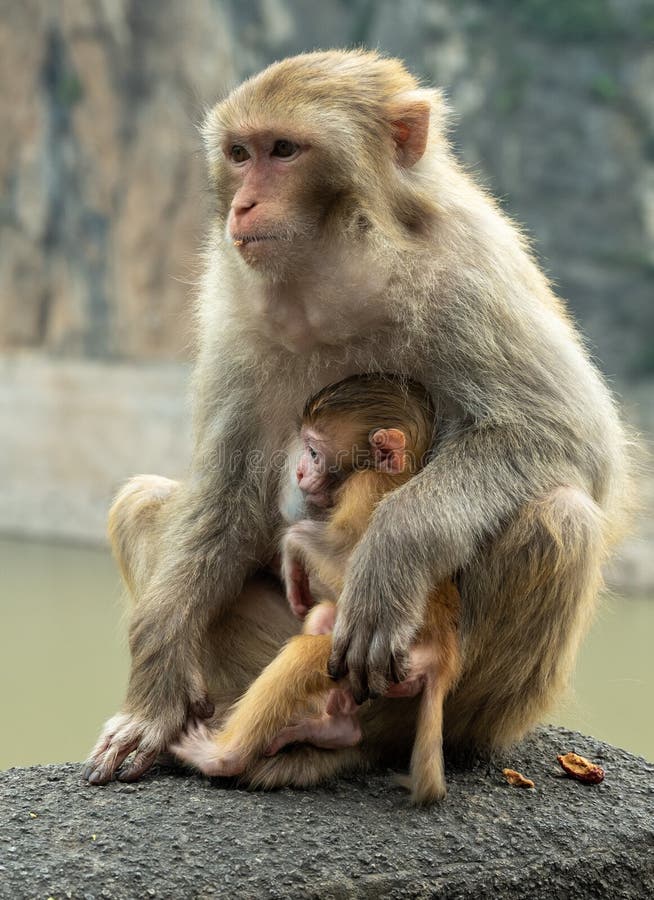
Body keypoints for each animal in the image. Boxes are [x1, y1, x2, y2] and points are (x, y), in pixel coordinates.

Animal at [171, 374, 461, 804]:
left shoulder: (365, 486)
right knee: (326, 618)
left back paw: (225, 757)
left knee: (303, 657)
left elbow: (348, 558)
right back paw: (335, 729)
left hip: (390, 662)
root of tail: (445, 655)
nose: (299, 473)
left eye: (312, 450)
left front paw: (292, 547)